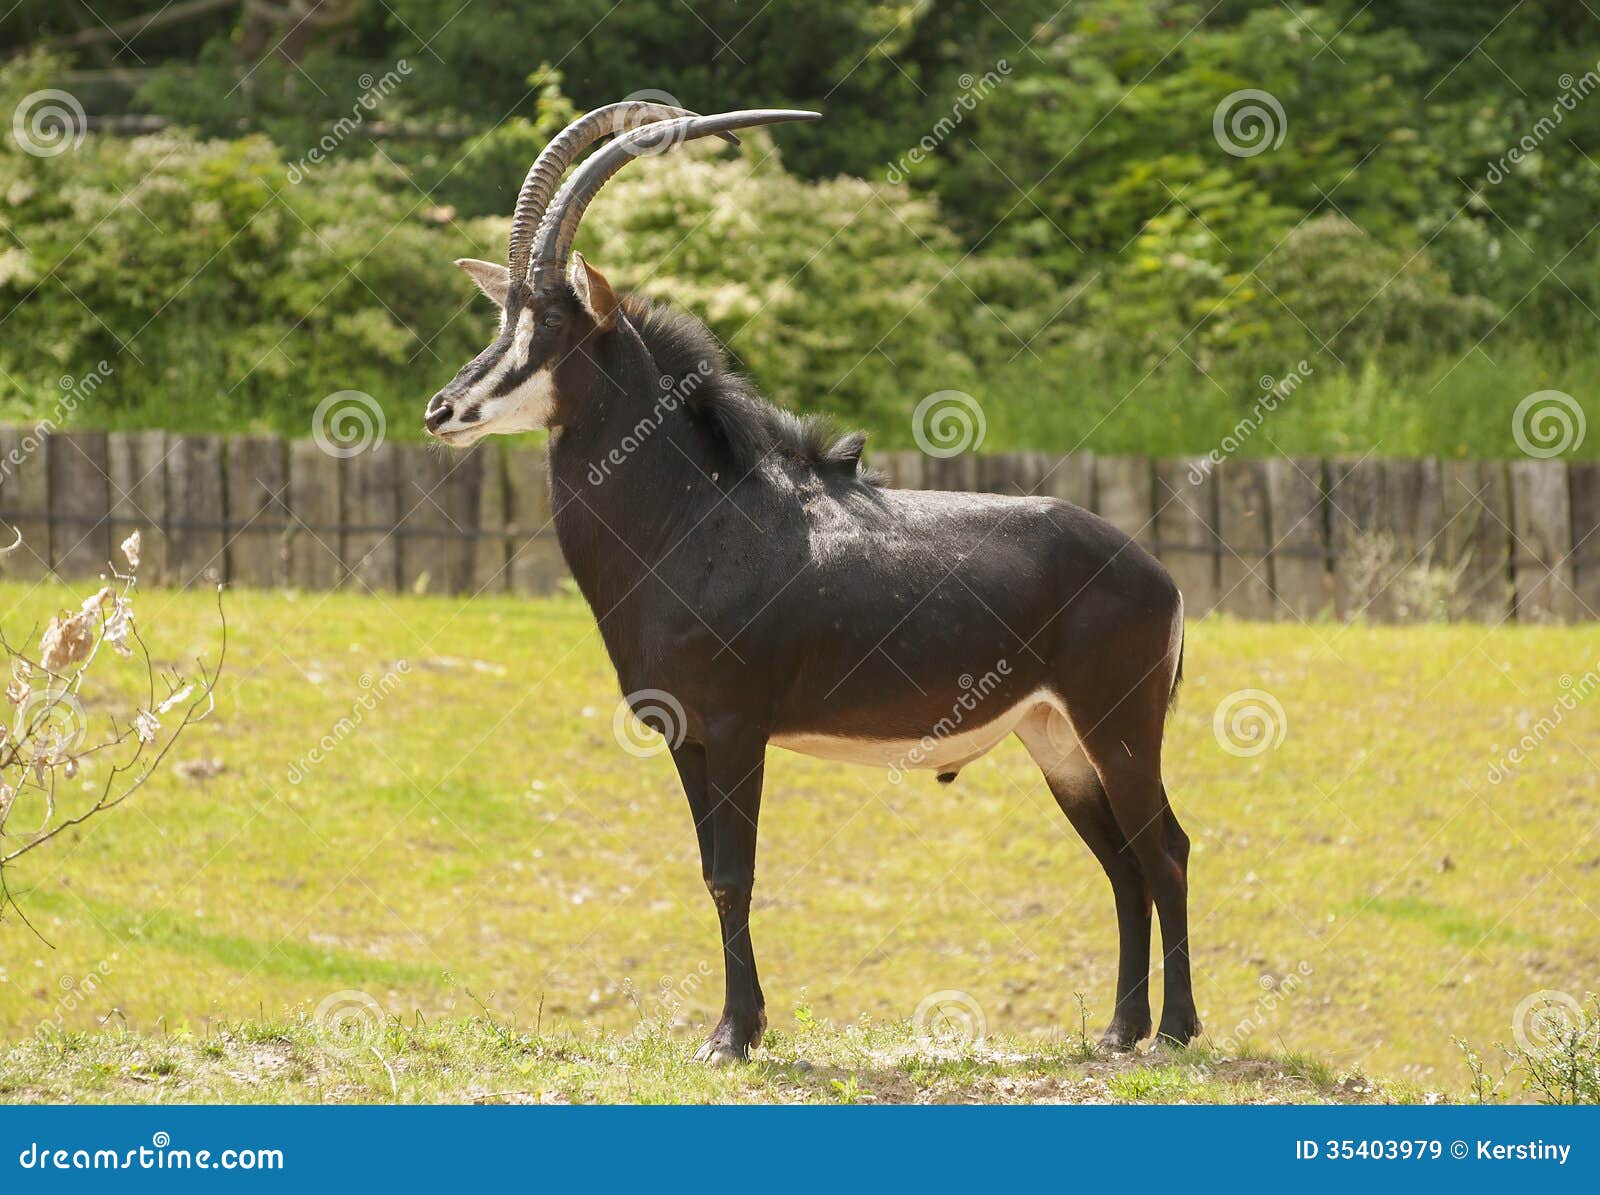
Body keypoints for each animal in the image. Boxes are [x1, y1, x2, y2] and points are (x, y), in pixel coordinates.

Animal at [424, 103, 1197, 1063]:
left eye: (552, 329)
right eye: (503, 320)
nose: (442, 410)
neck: (696, 516)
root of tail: (1156, 575)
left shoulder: (736, 727)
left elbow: (735, 873)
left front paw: (733, 1035)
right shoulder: (683, 734)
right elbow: (711, 871)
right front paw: (738, 1026)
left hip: (1118, 727)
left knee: (1165, 850)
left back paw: (1175, 1030)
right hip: (1058, 740)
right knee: (1124, 861)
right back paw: (1121, 1028)